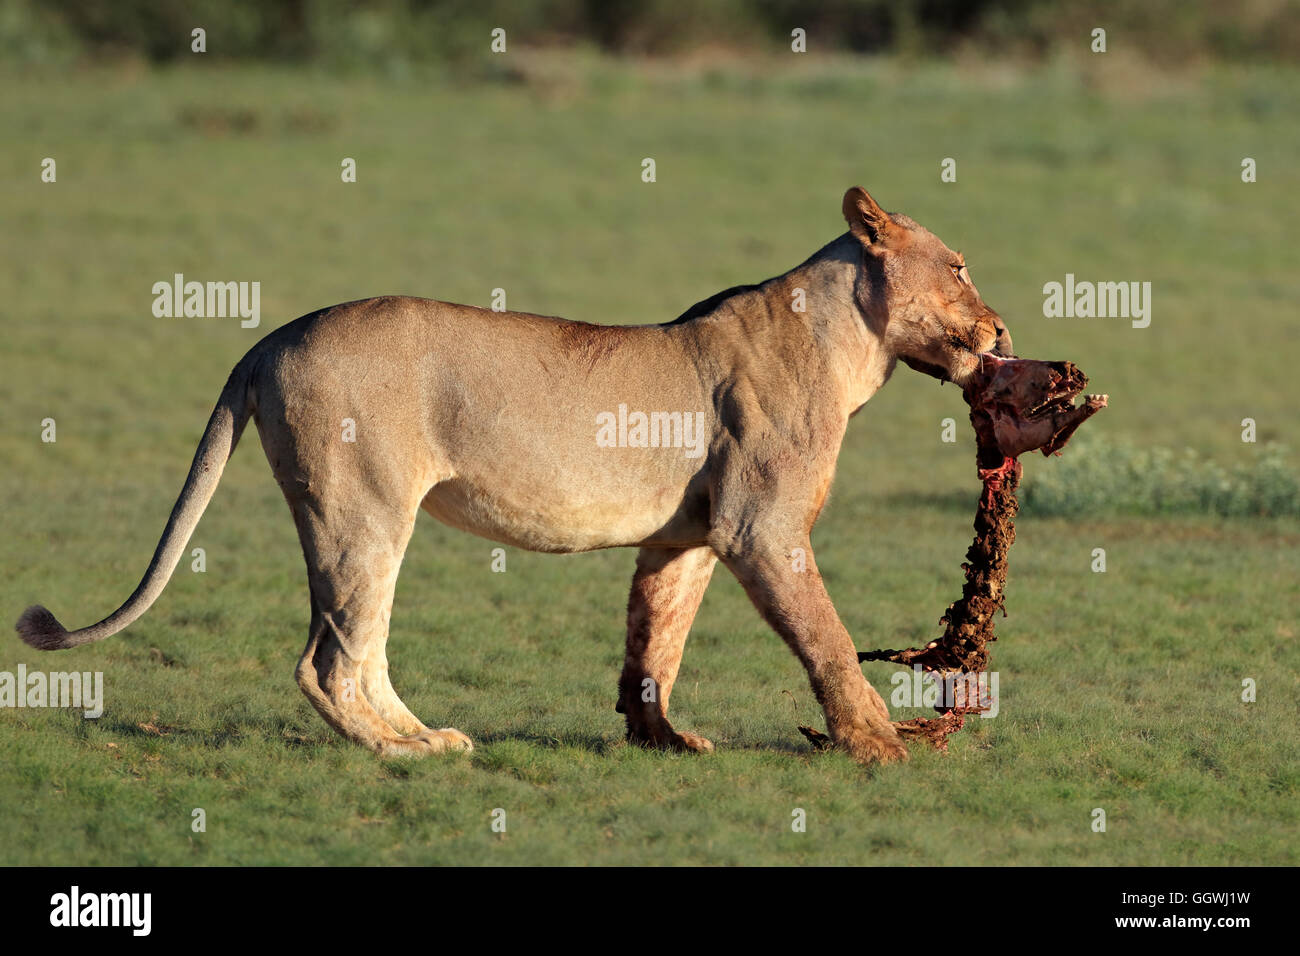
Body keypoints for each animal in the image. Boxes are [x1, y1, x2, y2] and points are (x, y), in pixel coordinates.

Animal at [17, 187, 1014, 765]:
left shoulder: (689, 537)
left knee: (361, 646)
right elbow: (828, 640)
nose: (1002, 330)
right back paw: (398, 754)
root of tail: (270, 337)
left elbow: (656, 641)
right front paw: (879, 743)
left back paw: (425, 735)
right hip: (361, 507)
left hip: (366, 517)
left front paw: (662, 738)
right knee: (328, 660)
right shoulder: (761, 530)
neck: (852, 345)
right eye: (960, 268)